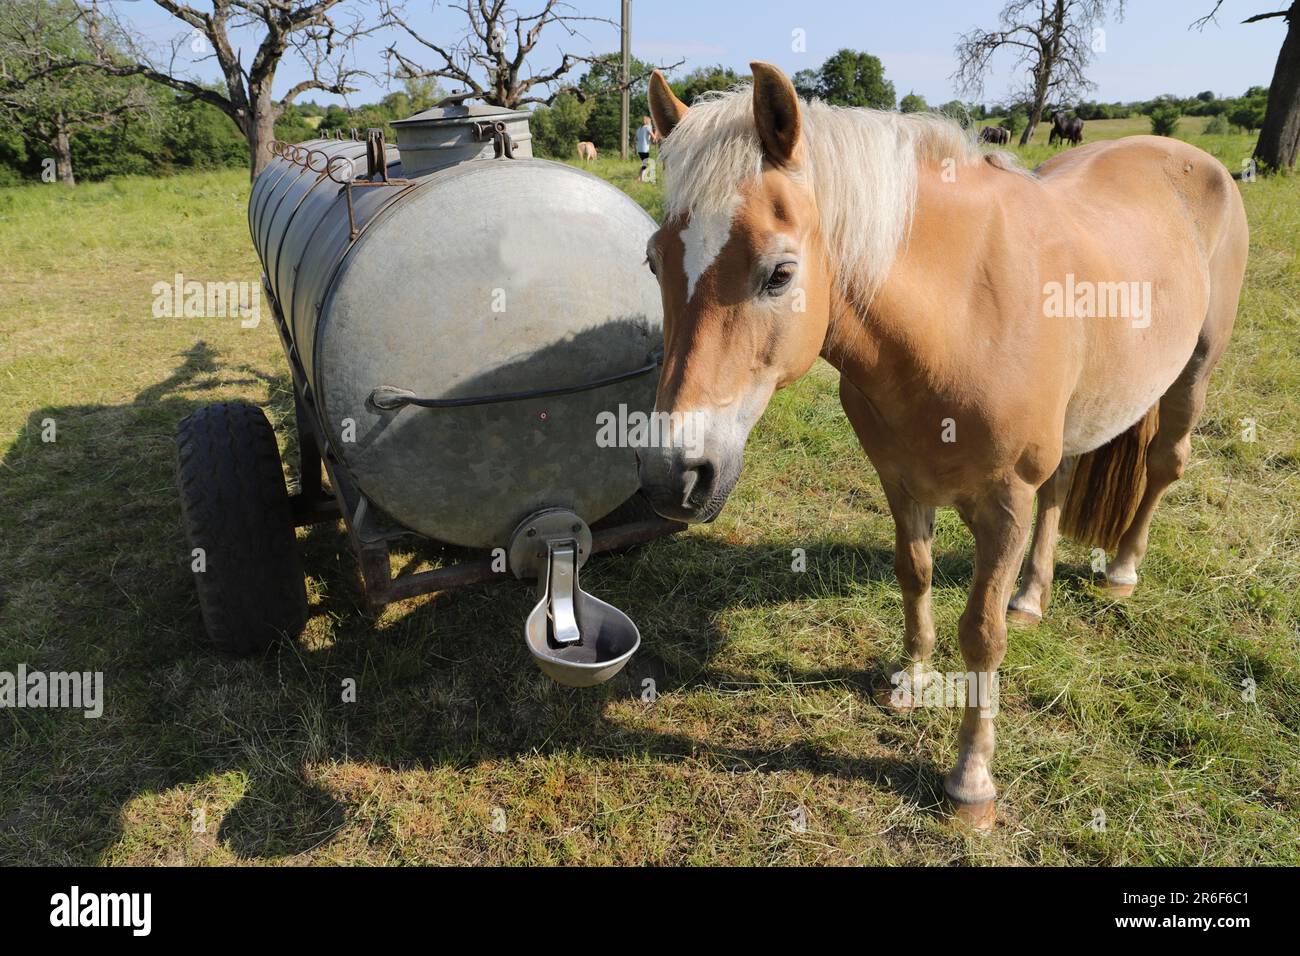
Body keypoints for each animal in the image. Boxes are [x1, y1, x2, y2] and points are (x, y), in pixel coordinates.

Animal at [639, 63, 1247, 829]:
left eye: (779, 273)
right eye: (654, 261)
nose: (674, 476)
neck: (963, 313)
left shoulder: (1004, 503)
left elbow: (982, 633)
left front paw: (972, 779)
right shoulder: (901, 480)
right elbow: (915, 573)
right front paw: (913, 678)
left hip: (1194, 373)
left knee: (1164, 466)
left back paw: (1122, 570)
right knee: (1063, 487)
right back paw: (1033, 595)